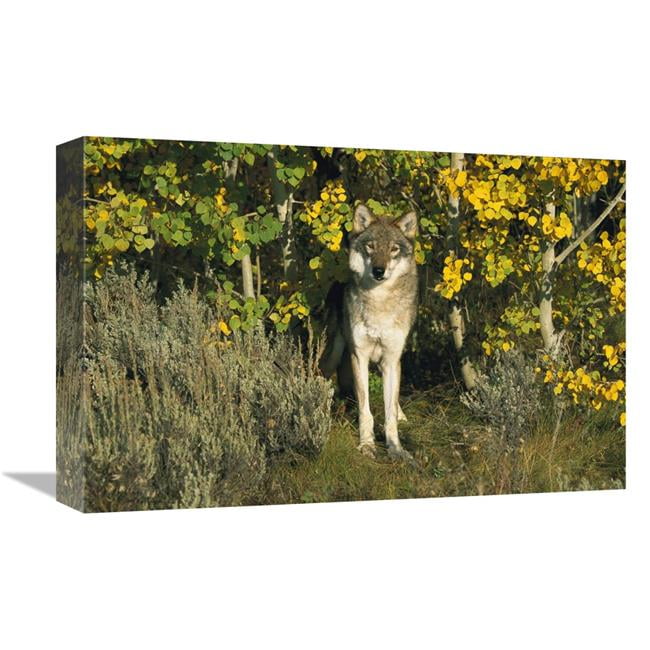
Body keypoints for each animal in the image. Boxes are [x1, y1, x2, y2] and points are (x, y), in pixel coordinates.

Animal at [320, 204, 418, 461]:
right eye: (371, 246)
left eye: (393, 249)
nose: (378, 270)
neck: (379, 302)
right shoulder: (360, 356)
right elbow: (366, 410)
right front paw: (367, 445)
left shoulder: (392, 359)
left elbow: (389, 412)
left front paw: (396, 448)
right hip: (333, 353)